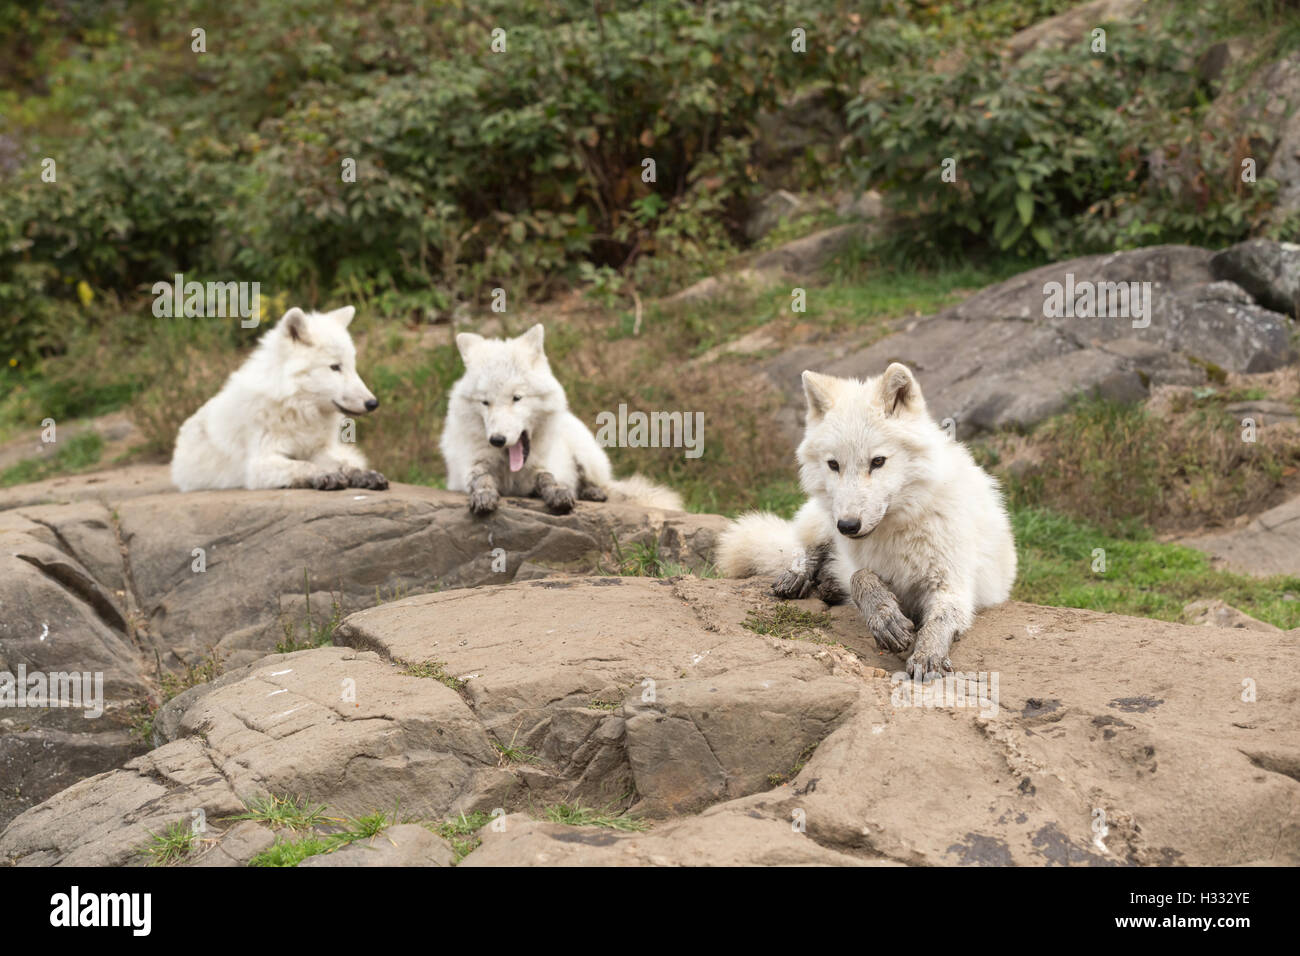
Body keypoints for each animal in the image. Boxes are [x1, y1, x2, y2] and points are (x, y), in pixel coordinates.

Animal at [171, 306, 389, 492]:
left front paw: (363, 474)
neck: (297, 408)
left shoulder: (316, 450)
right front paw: (324, 475)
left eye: (352, 366)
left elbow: (343, 464)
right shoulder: (259, 464)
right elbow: (302, 465)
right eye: (335, 367)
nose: (373, 403)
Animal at [441, 323, 683, 515]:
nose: (497, 440)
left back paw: (593, 492)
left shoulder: (543, 467)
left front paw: (558, 492)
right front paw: (484, 495)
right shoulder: (467, 467)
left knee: (596, 483)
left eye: (516, 398)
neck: (511, 470)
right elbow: (481, 478)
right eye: (485, 402)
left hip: (587, 455)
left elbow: (547, 477)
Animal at [716, 363, 1016, 679]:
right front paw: (885, 618)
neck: (899, 529)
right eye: (833, 464)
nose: (848, 526)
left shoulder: (953, 587)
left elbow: (939, 622)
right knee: (809, 546)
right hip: (824, 518)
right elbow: (860, 577)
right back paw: (800, 575)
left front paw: (928, 655)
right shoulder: (853, 559)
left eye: (878, 461)